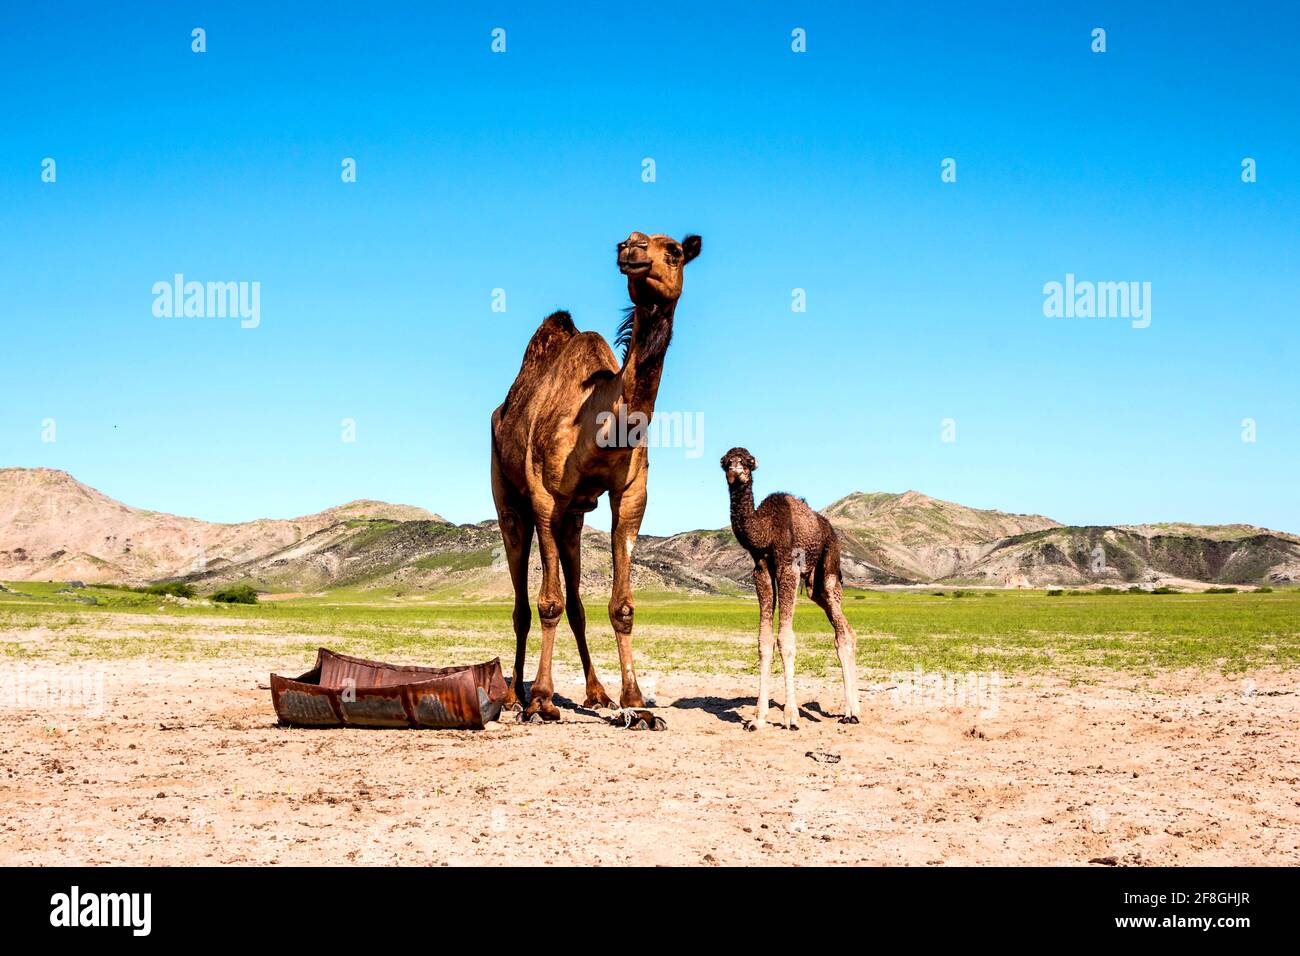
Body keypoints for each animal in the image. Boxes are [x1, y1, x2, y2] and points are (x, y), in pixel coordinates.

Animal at [490, 231, 702, 723]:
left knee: (577, 605)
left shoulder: (630, 494)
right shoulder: (546, 496)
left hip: (573, 519)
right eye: (634, 239)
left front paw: (636, 705)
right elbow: (547, 603)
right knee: (523, 604)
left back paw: (596, 693)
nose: (632, 248)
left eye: (674, 252)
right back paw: (514, 697)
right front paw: (542, 700)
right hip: (510, 500)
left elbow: (619, 606)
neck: (603, 420)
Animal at [720, 447, 860, 730]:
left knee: (841, 628)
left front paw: (791, 717)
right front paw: (757, 719)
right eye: (726, 461)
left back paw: (850, 712)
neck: (766, 531)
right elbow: (764, 641)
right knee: (844, 629)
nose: (736, 470)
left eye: (748, 462)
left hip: (829, 565)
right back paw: (853, 708)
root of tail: (828, 526)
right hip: (814, 587)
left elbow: (785, 639)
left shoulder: (788, 567)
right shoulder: (761, 569)